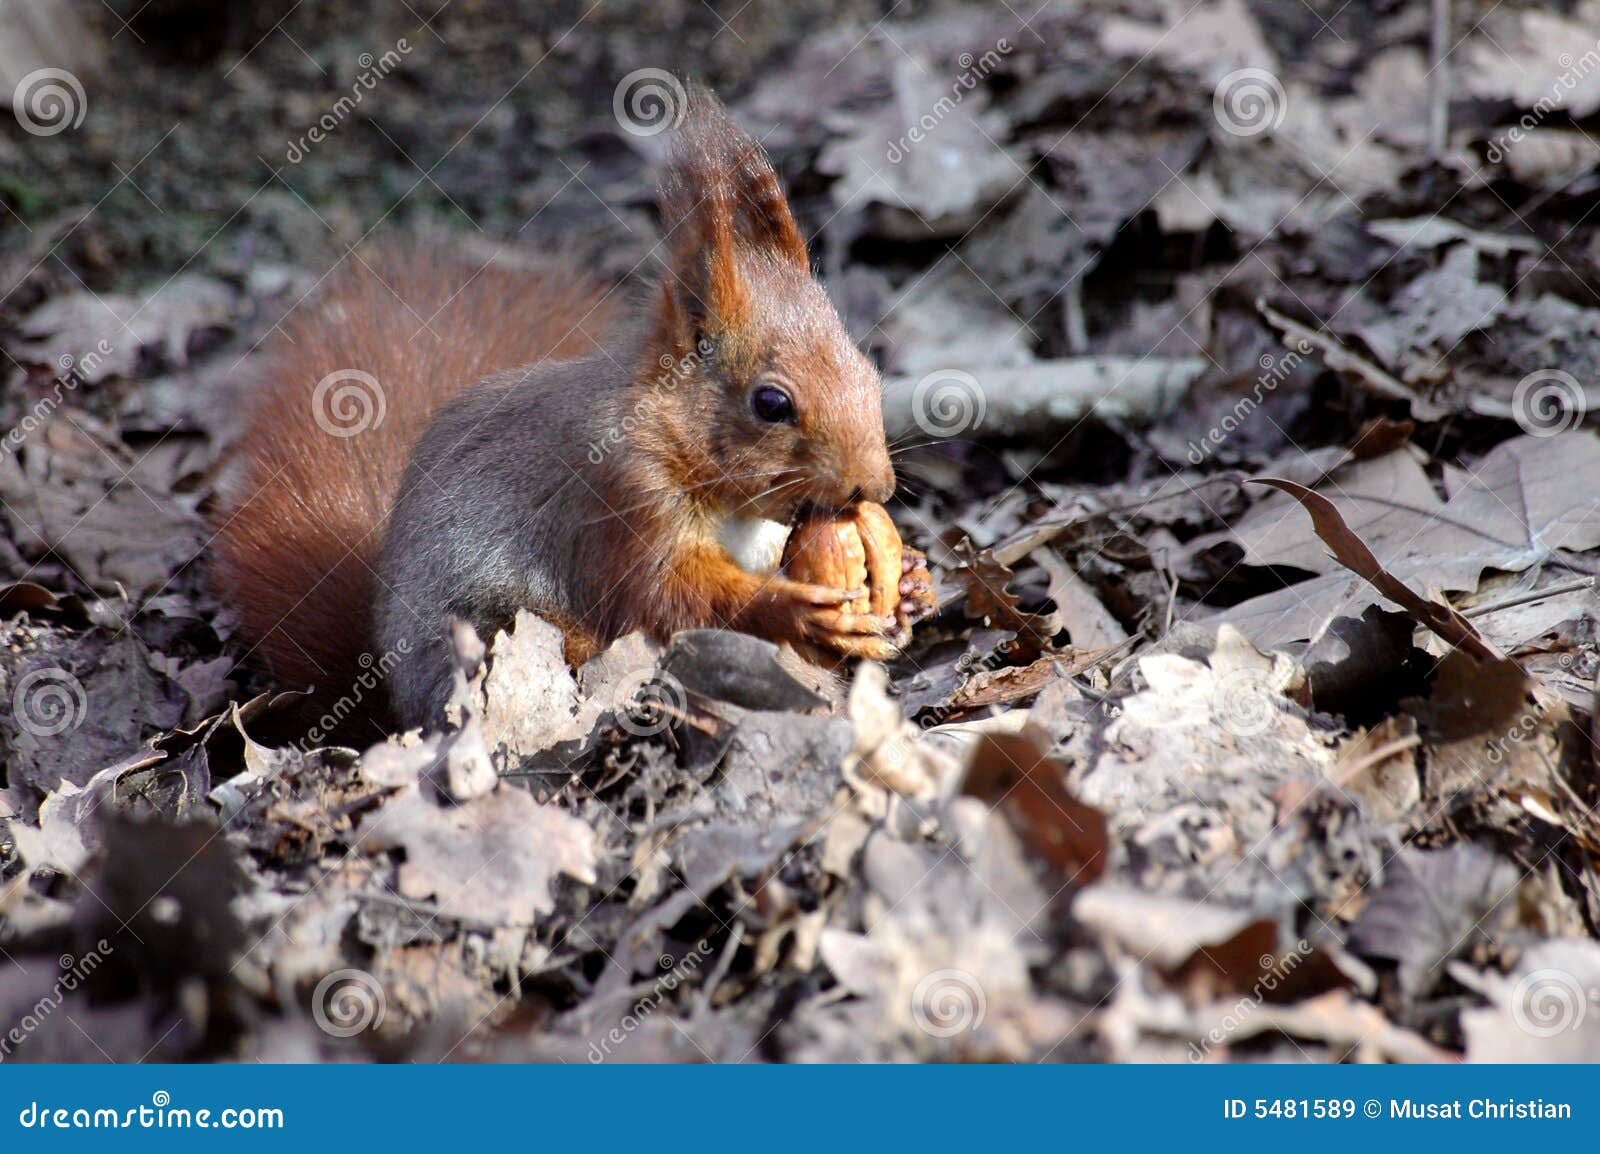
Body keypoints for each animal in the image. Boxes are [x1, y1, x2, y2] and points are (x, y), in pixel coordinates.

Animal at [212, 89, 930, 733]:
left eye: (869, 371)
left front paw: (914, 579)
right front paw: (796, 610)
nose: (875, 486)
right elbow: (666, 593)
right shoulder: (621, 499)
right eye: (772, 403)